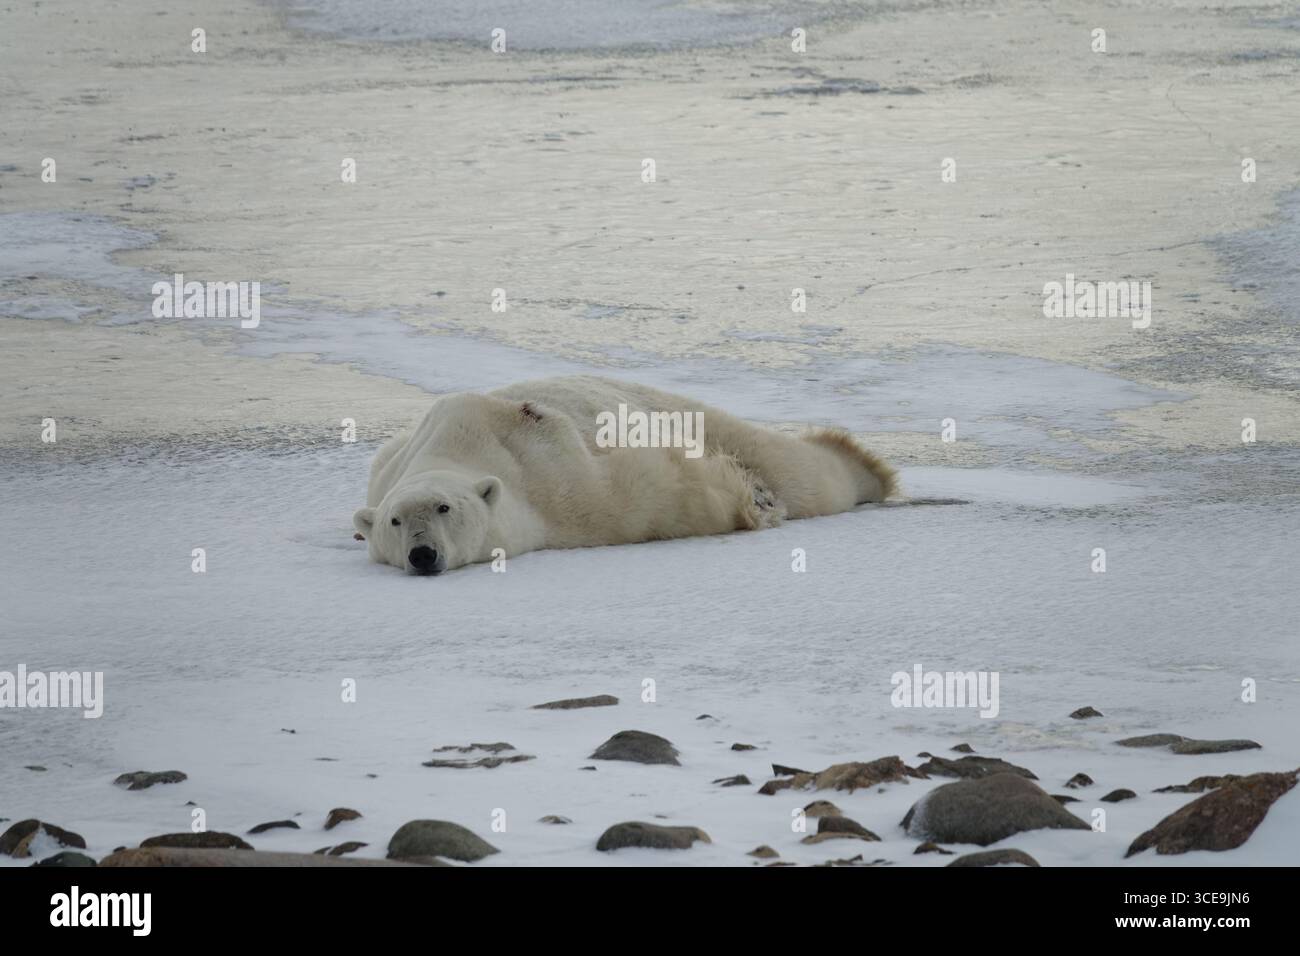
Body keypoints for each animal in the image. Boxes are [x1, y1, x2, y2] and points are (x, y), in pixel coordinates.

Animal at [353, 375, 897, 574]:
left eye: (443, 507)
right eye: (394, 522)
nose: (423, 554)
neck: (453, 447)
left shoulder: (564, 475)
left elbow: (664, 484)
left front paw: (747, 497)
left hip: (671, 404)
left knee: (790, 465)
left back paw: (863, 468)